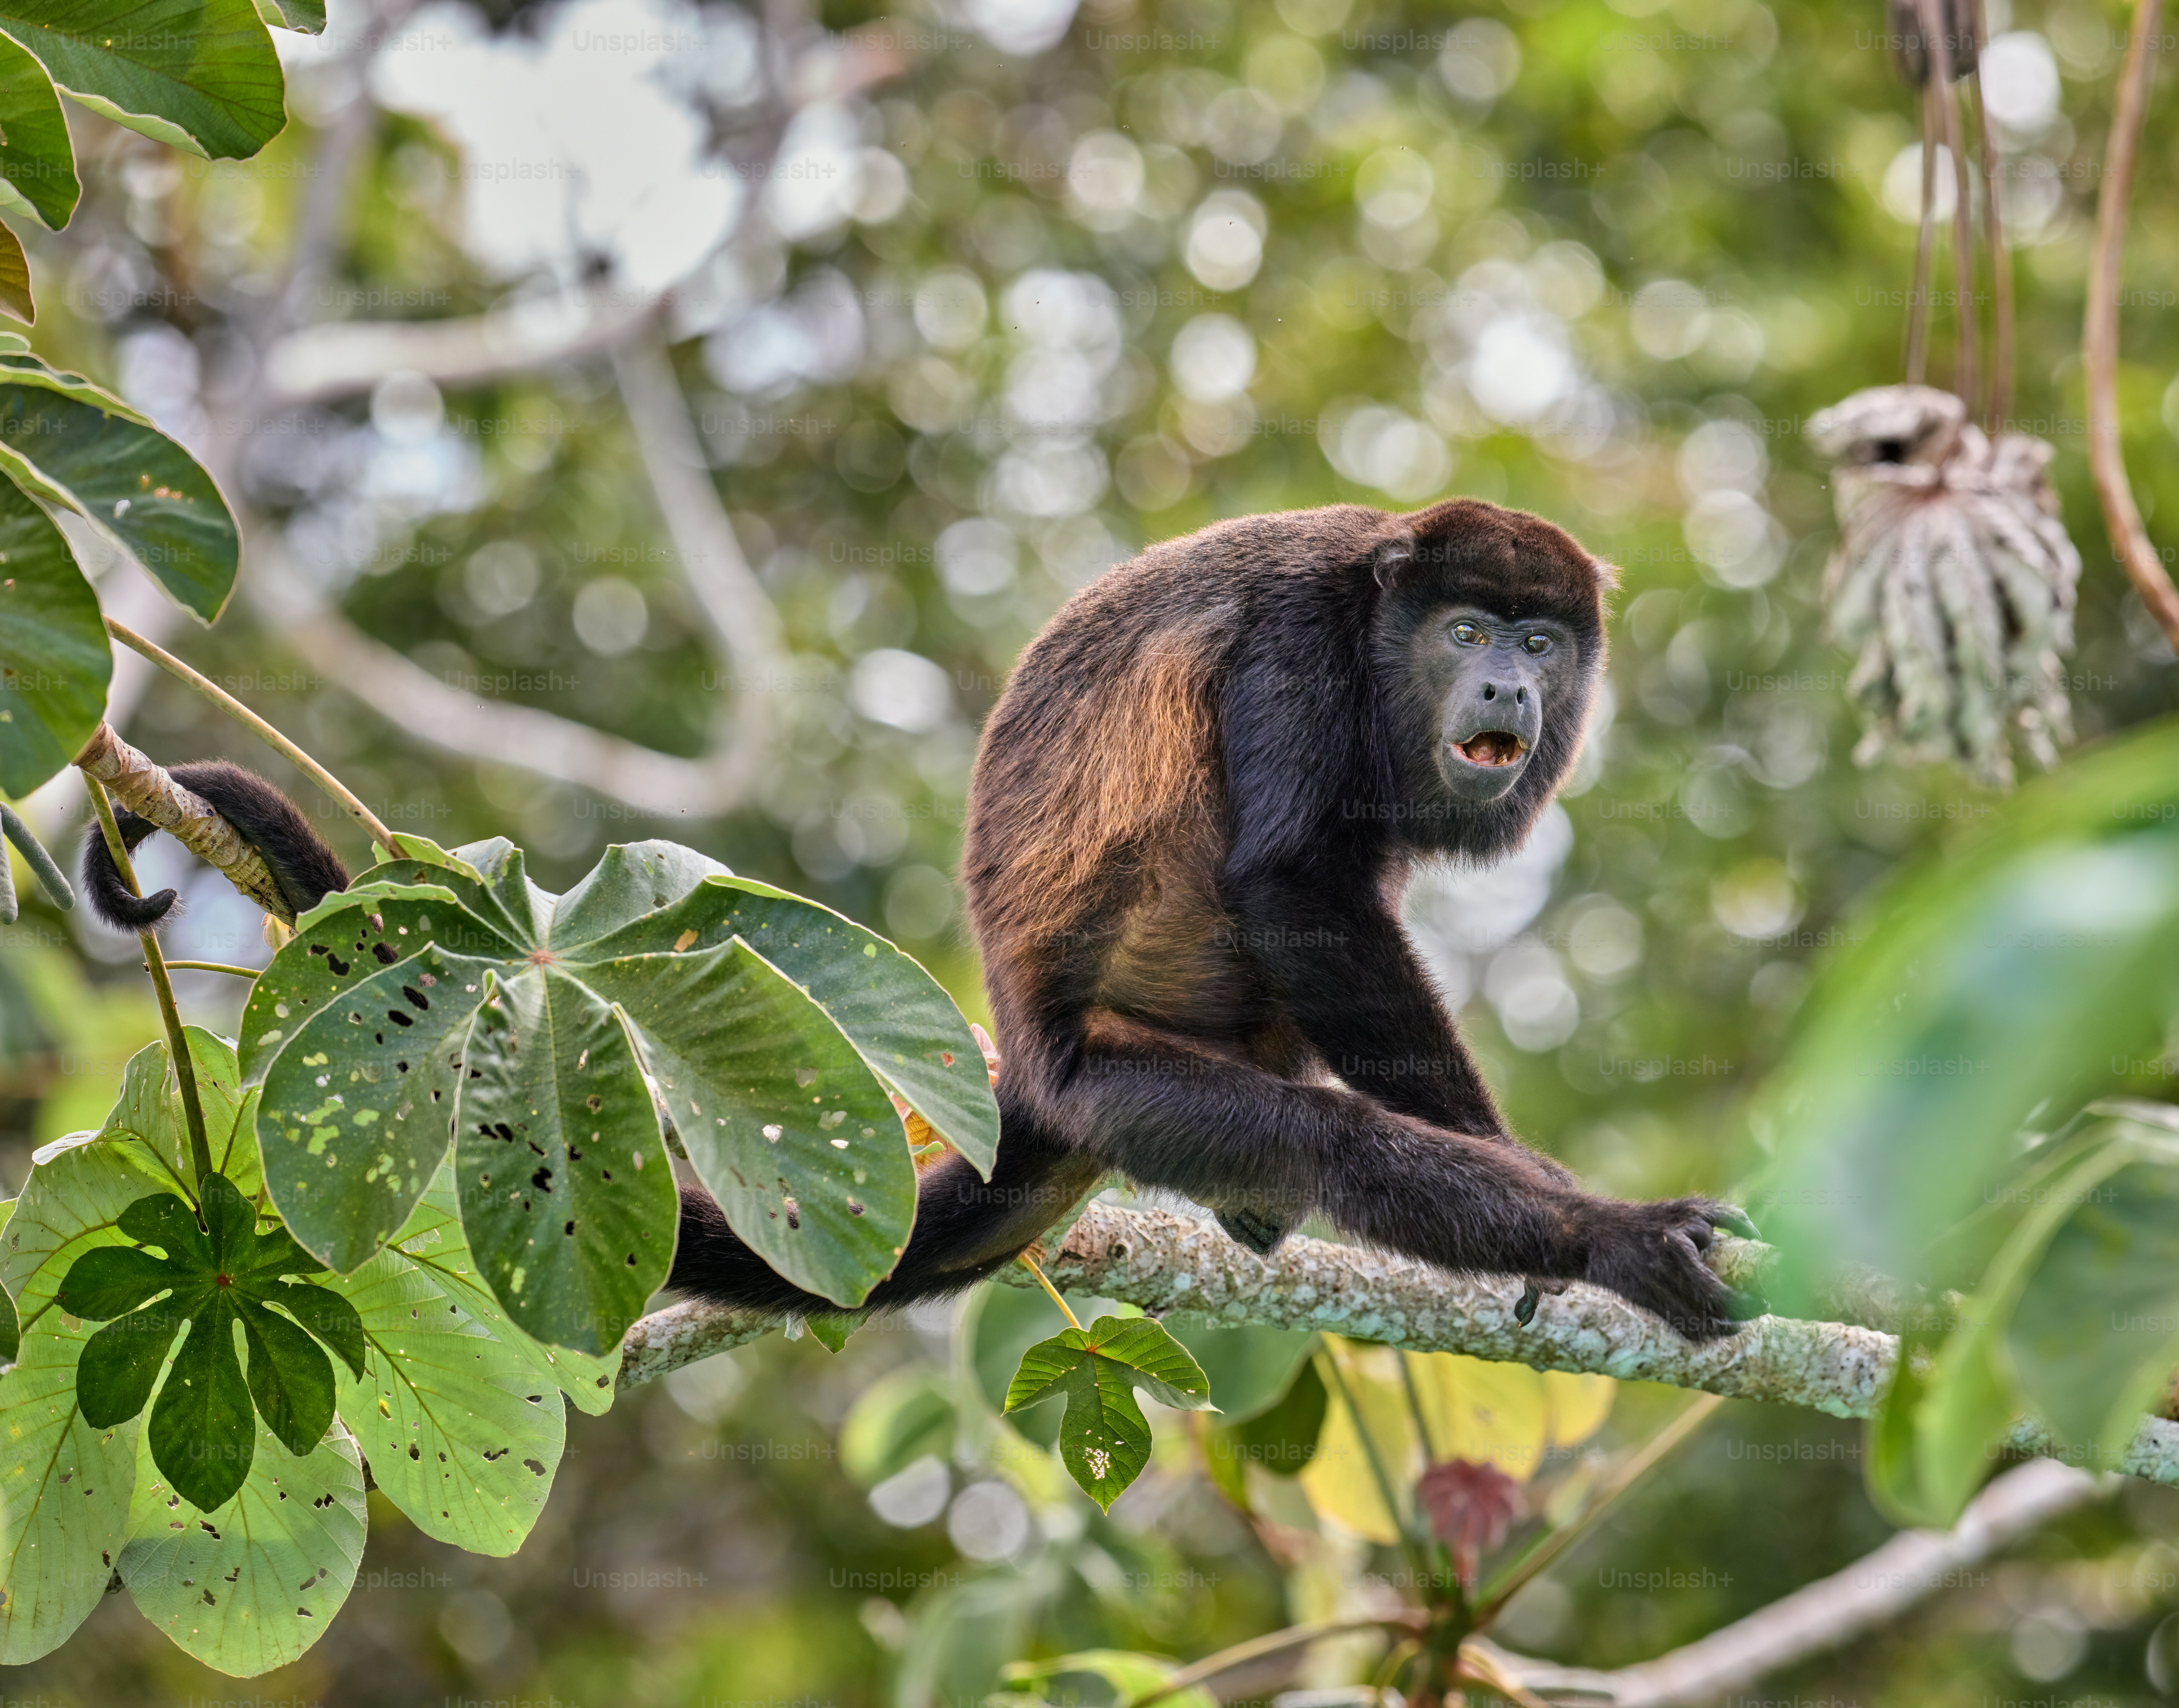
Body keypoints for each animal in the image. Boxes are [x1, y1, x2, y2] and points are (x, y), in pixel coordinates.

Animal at [671, 497, 1763, 1339]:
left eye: (1539, 643)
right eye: (1464, 633)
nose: (1509, 685)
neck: (1375, 621)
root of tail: (1020, 1066)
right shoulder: (1295, 635)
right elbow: (1292, 887)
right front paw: (1542, 1181)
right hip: (1118, 1085)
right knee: (1328, 1141)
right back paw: (1609, 1240)